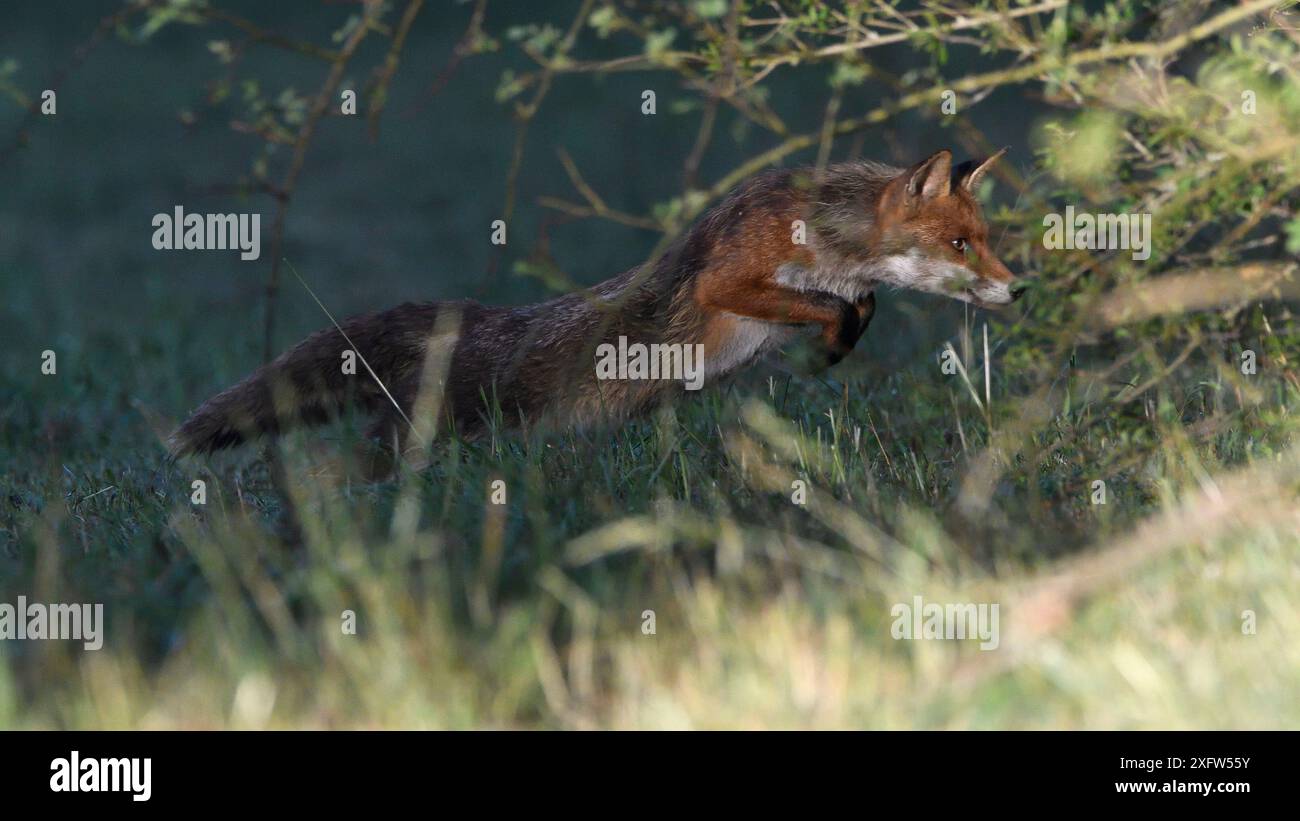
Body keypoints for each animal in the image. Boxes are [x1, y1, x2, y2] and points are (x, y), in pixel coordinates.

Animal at [169, 148, 1021, 468]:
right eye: (959, 244)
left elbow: (860, 299)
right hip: (426, 433)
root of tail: (471, 317)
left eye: (985, 239)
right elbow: (826, 306)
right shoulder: (729, 279)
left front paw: (843, 337)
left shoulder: (830, 284)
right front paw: (831, 344)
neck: (826, 231)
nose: (1018, 288)